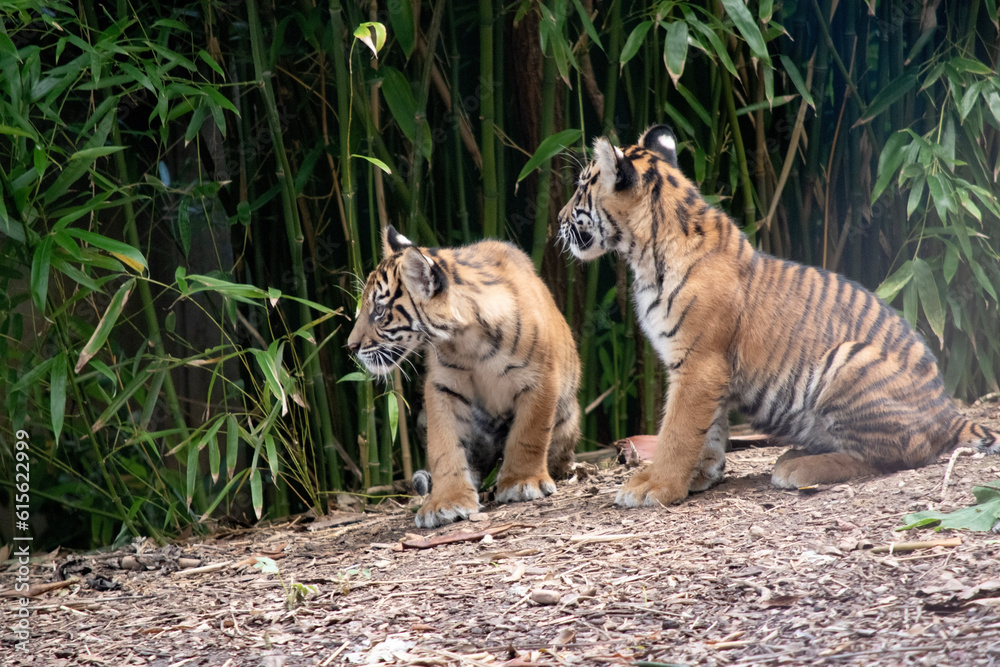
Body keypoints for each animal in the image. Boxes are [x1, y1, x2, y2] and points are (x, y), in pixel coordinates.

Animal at [347, 225, 582, 527]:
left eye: (379, 310)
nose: (351, 346)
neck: (467, 339)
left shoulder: (541, 377)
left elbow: (529, 434)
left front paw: (521, 482)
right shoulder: (443, 387)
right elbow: (444, 445)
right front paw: (446, 502)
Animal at [557, 124, 999, 507]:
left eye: (580, 188)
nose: (558, 219)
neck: (643, 254)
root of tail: (947, 411)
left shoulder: (699, 364)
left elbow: (677, 432)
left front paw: (655, 486)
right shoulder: (707, 370)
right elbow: (710, 430)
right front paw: (701, 475)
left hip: (850, 359)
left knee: (895, 455)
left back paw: (799, 467)